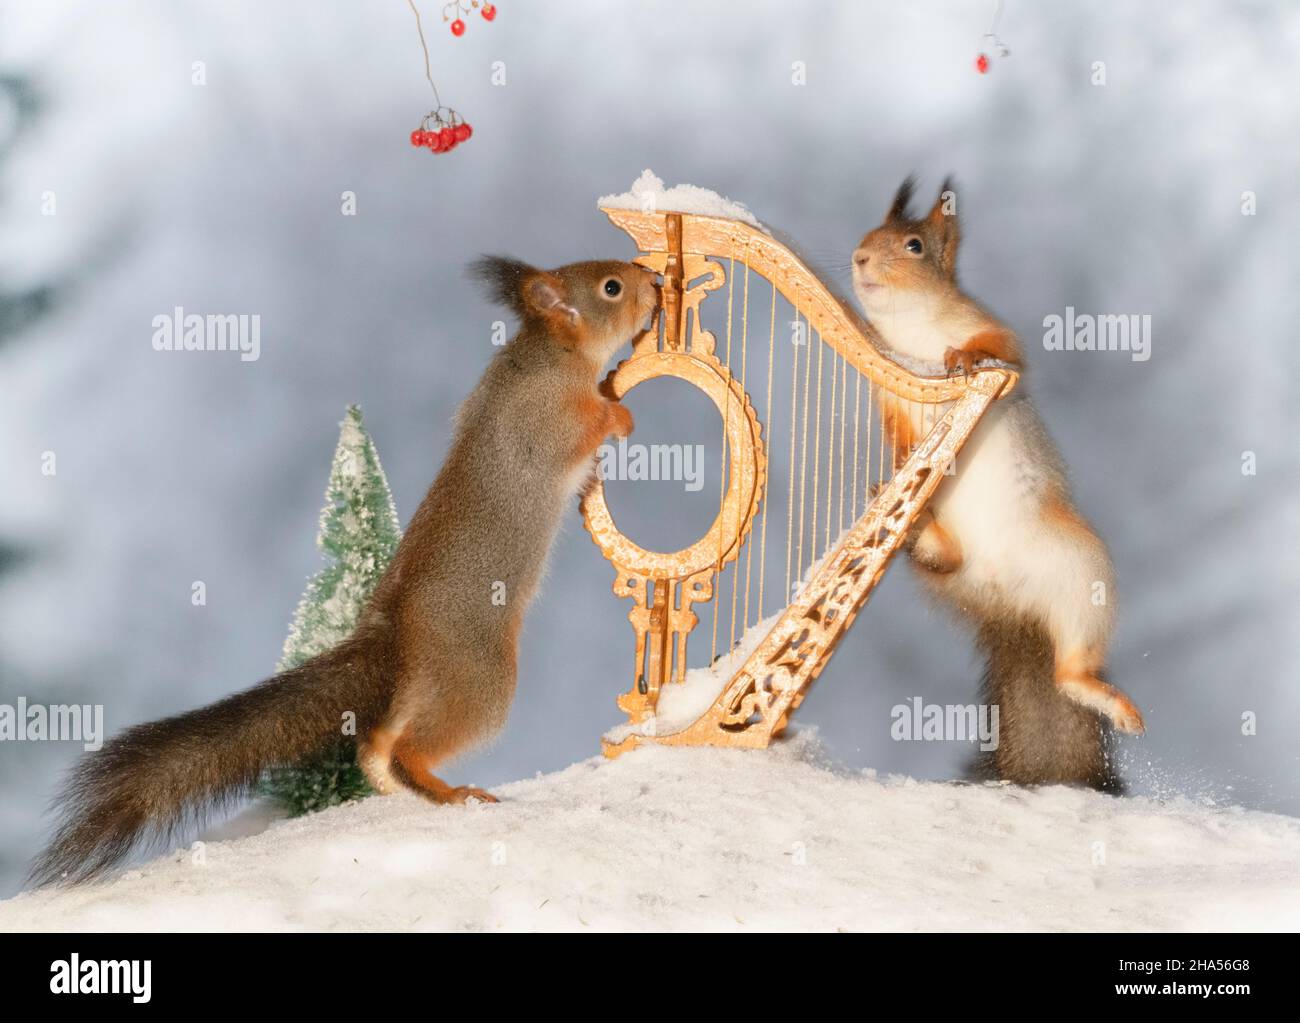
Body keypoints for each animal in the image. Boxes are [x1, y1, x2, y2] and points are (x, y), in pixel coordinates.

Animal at [31, 256, 659, 885]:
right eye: (610, 286)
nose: (653, 281)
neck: (551, 354)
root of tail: (395, 634)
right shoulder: (544, 420)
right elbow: (581, 429)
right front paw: (619, 415)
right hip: (478, 678)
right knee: (404, 746)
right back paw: (450, 793)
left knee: (376, 743)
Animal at [851, 176, 1142, 790]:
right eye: (868, 233)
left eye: (914, 246)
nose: (860, 258)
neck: (907, 329)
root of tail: (1007, 604)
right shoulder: (890, 393)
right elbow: (899, 434)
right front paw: (902, 467)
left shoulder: (986, 328)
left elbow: (1003, 352)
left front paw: (962, 358)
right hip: (956, 573)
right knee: (948, 563)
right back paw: (923, 534)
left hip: (1082, 571)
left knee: (1070, 670)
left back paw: (1108, 699)